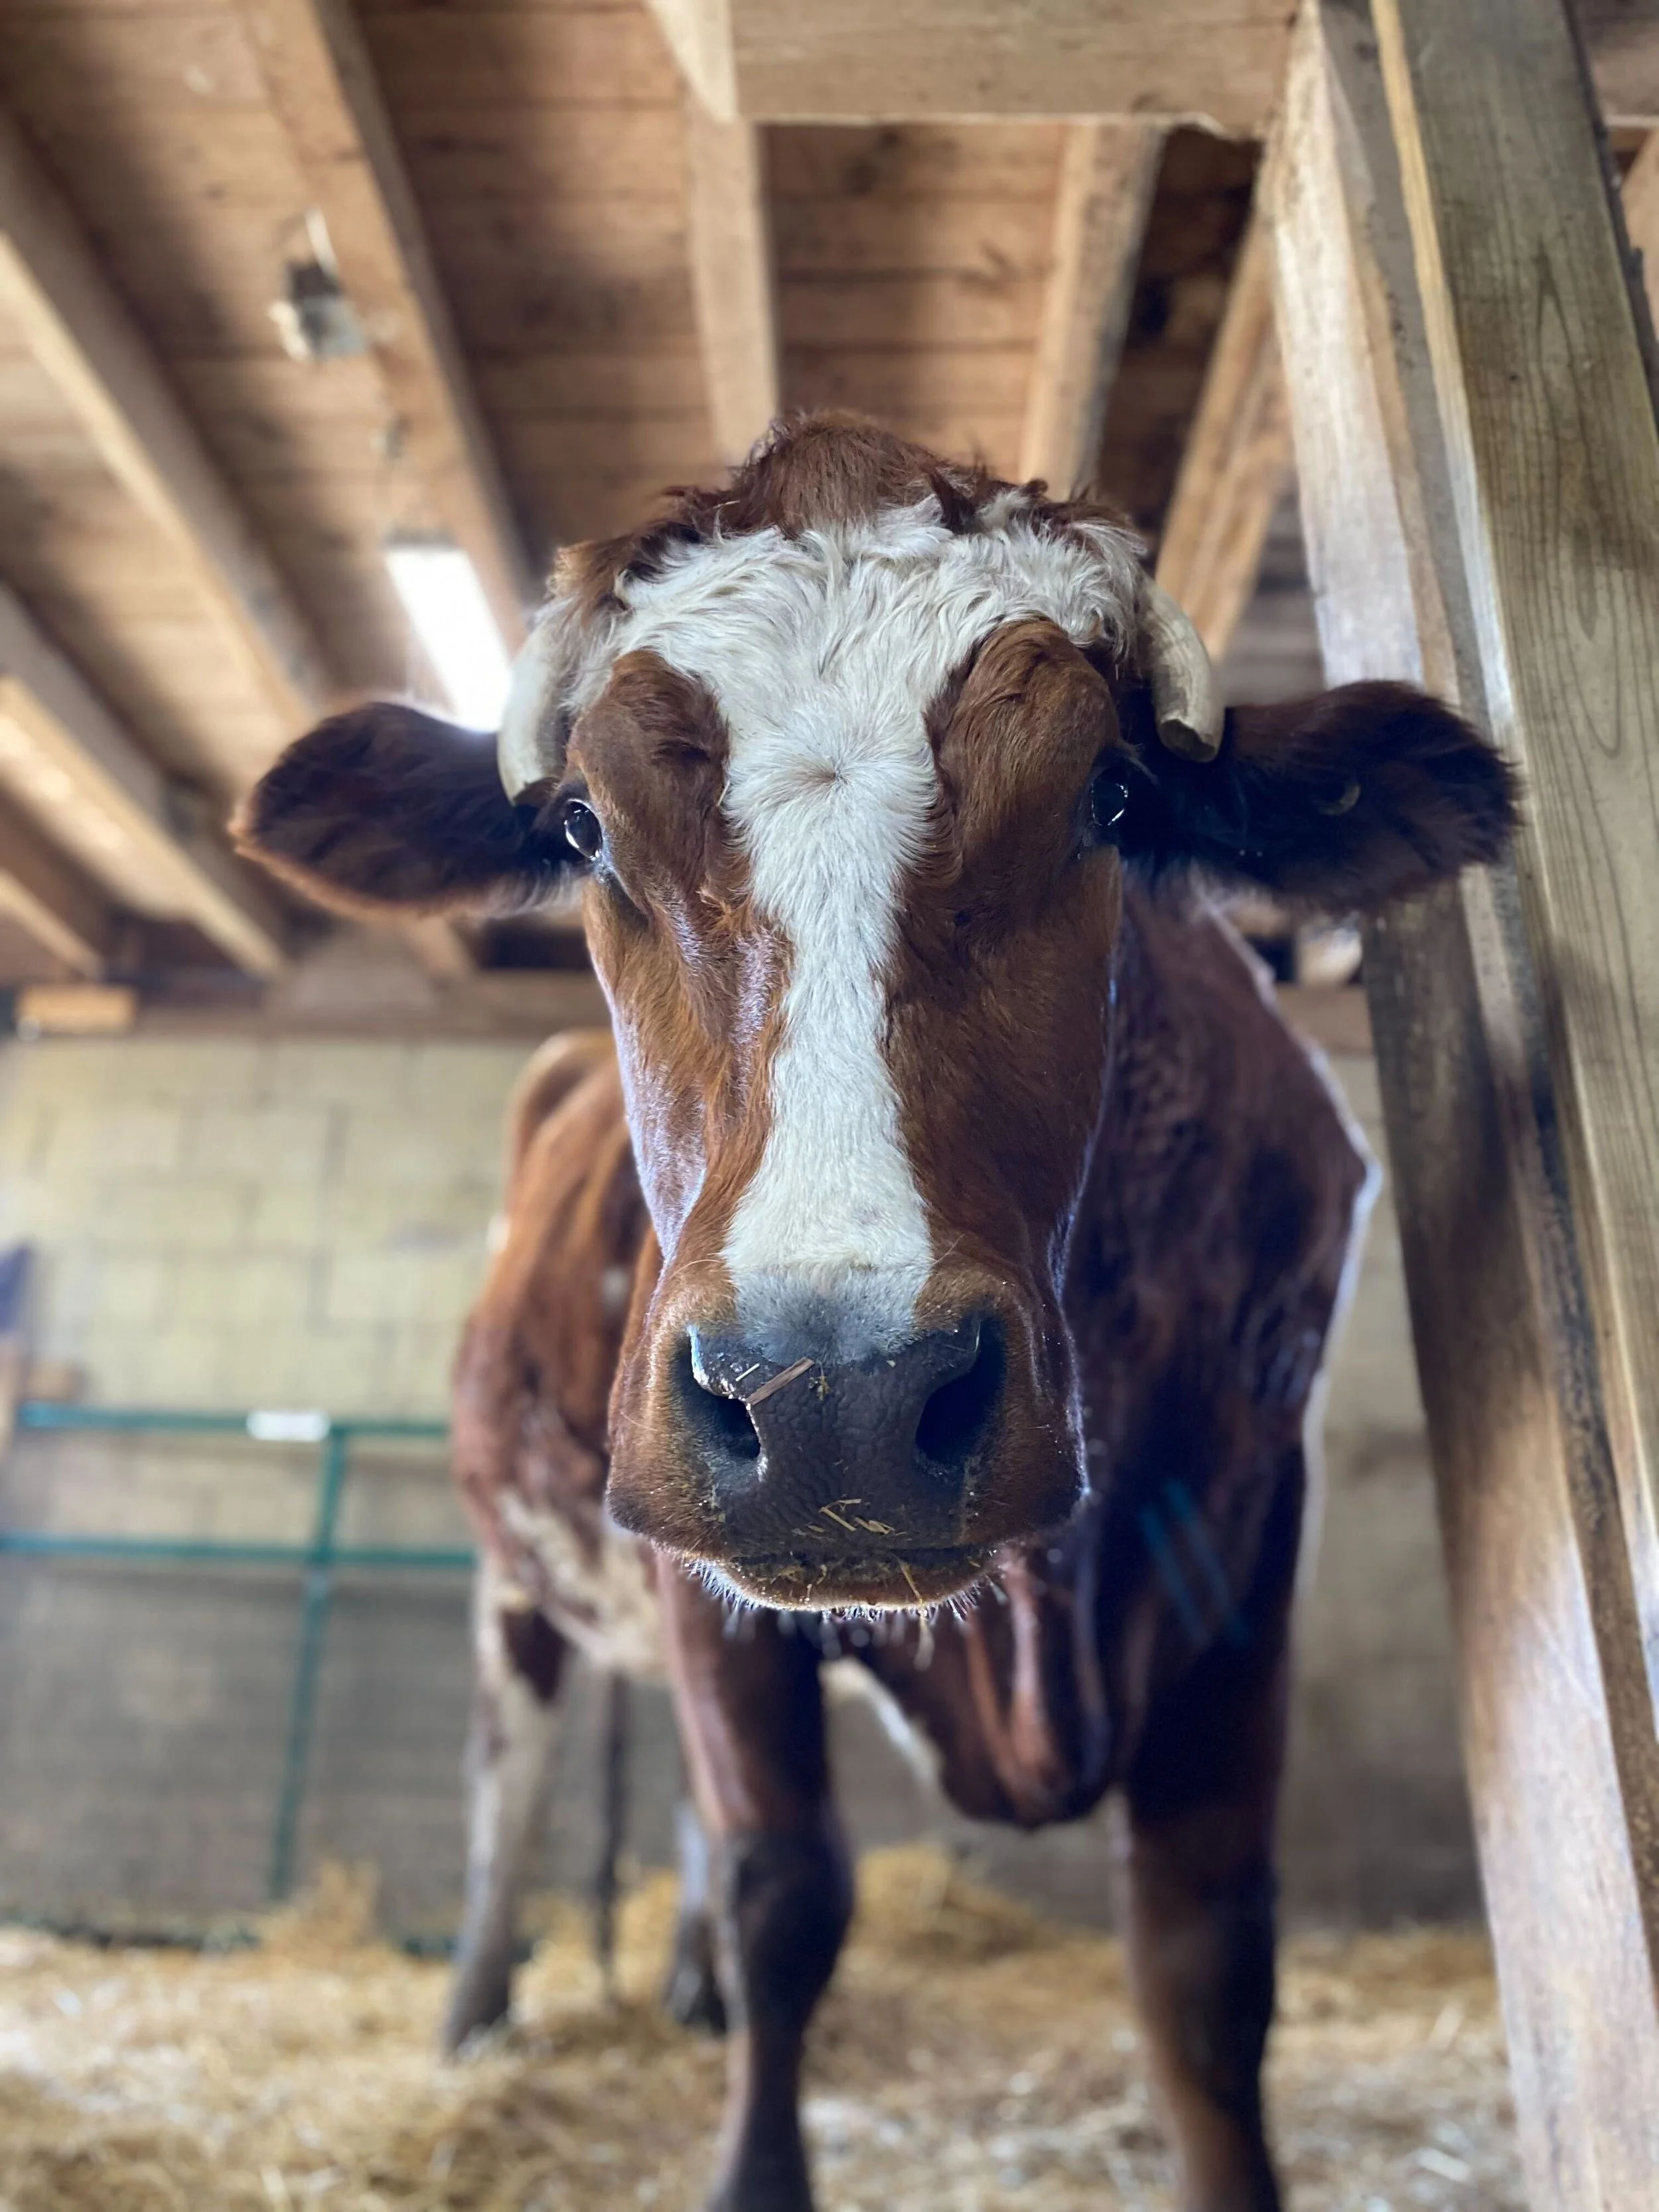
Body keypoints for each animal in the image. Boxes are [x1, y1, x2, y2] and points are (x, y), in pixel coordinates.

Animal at [235, 416, 1516, 2212]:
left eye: (1111, 798)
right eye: (582, 829)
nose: (831, 1394)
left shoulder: (1255, 1513)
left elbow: (1205, 1961)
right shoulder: (684, 1554)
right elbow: (787, 1889)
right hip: (530, 1565)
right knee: (514, 1765)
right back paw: (478, 2010)